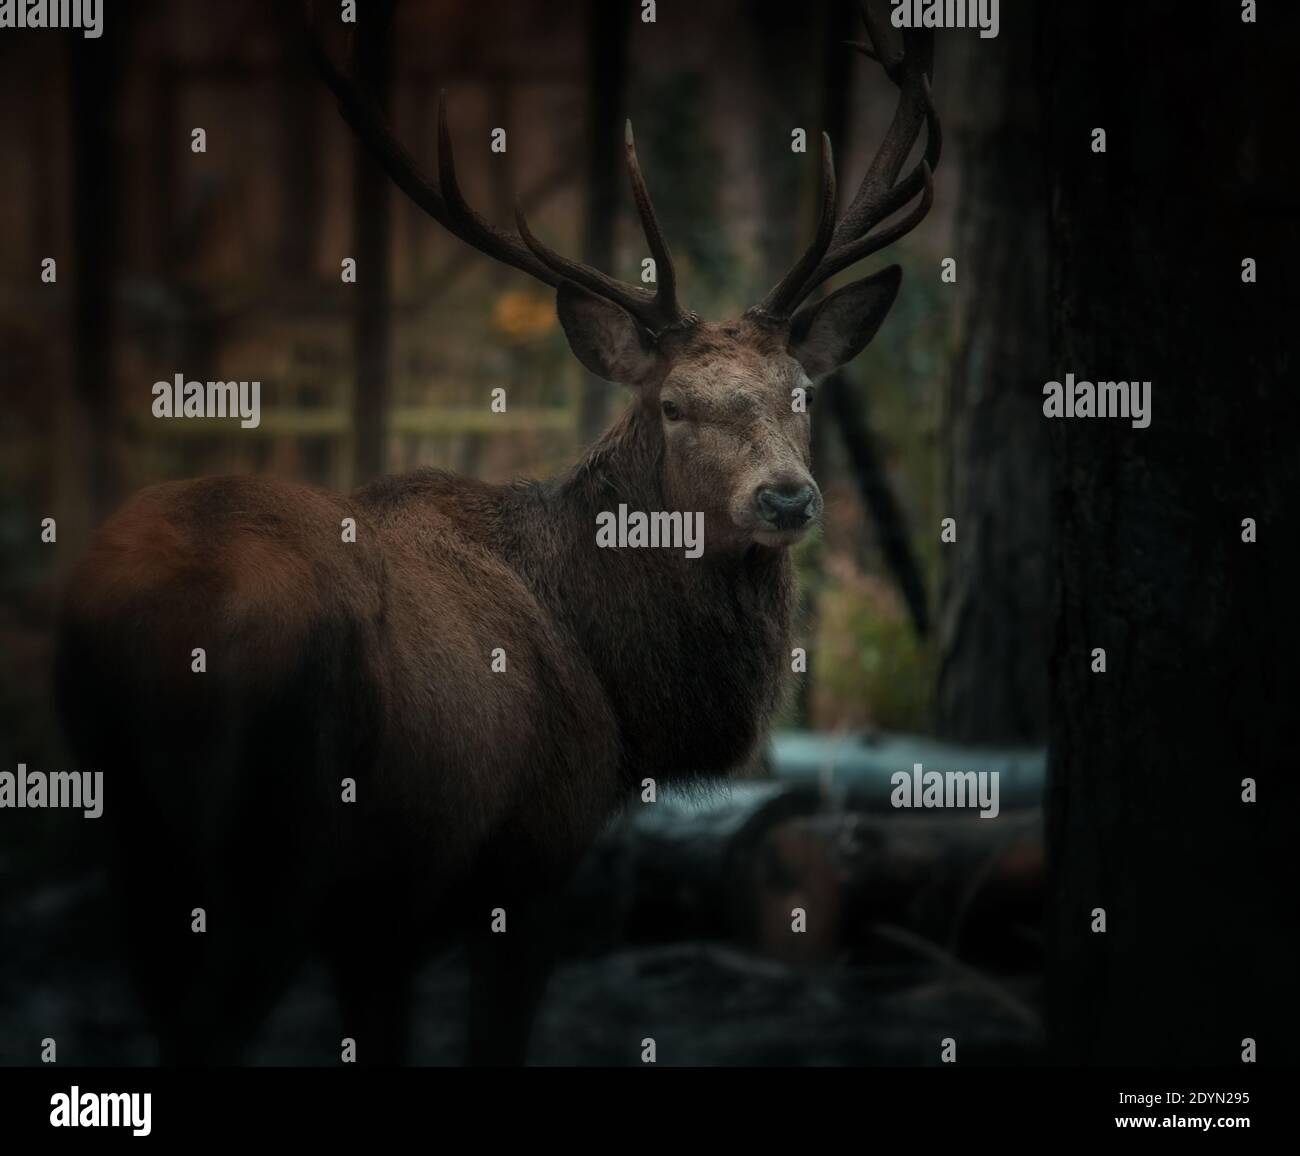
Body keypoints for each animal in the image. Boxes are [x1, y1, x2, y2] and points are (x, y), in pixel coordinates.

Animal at [54, 3, 939, 1066]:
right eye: (675, 404)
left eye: (801, 391)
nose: (787, 499)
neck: (621, 692)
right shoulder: (531, 857)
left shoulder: (379, 922)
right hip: (273, 853)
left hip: (134, 849)